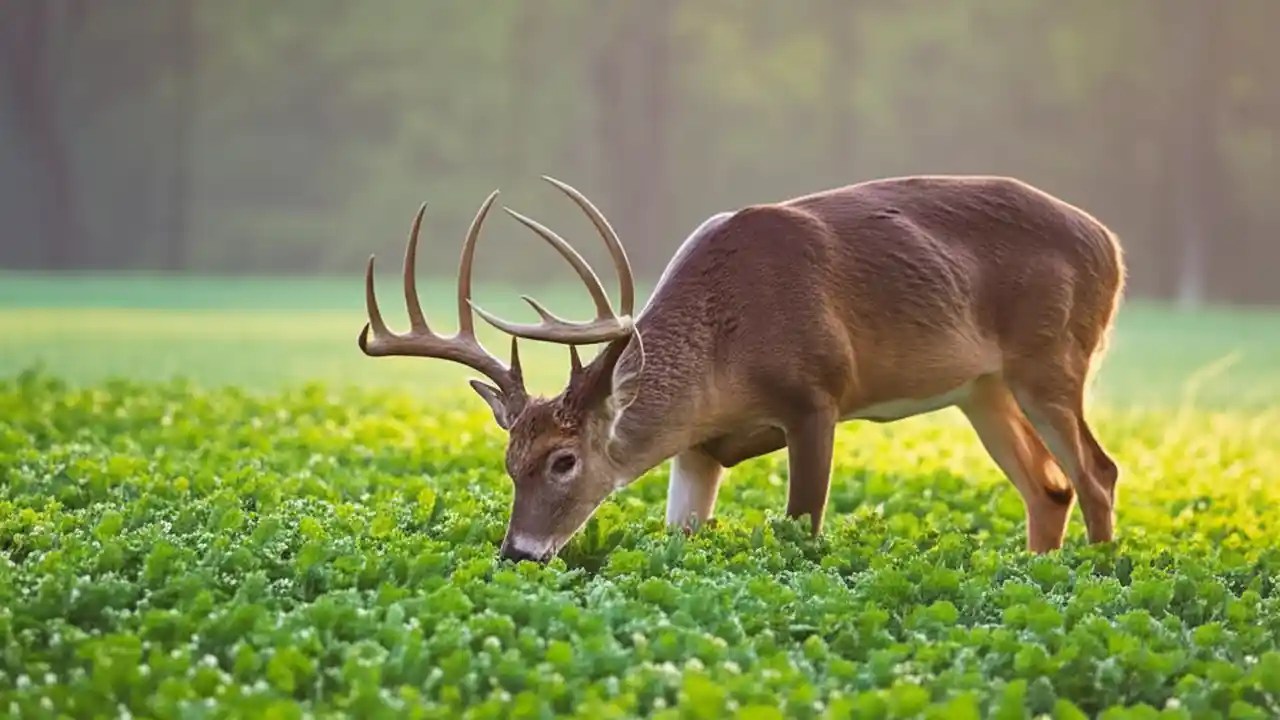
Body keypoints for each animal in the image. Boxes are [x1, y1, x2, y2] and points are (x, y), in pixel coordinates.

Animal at [358, 174, 1125, 562]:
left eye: (564, 460)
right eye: (509, 462)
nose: (517, 553)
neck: (725, 359)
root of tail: (1110, 243)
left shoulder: (817, 393)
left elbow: (802, 526)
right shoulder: (698, 448)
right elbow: (681, 536)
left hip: (1051, 360)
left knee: (1097, 471)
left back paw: (1094, 577)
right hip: (981, 389)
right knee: (1048, 487)